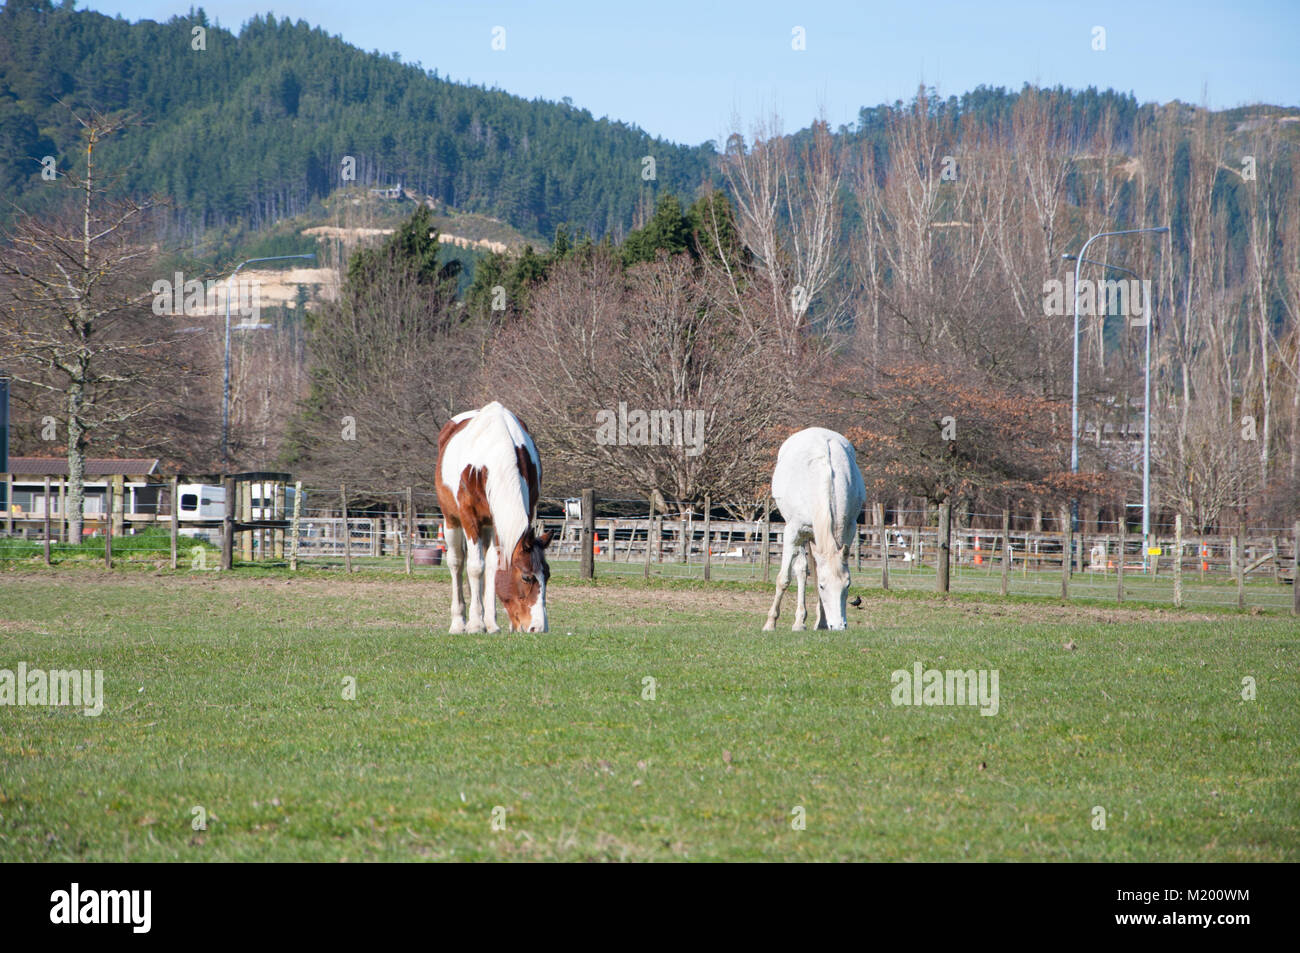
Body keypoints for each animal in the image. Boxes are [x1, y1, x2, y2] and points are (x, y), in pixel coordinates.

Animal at [436, 402, 551, 633]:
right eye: (526, 577)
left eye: (548, 575)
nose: (539, 627)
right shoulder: (469, 518)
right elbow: (475, 568)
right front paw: (475, 624)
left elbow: (491, 568)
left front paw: (490, 623)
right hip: (451, 520)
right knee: (456, 563)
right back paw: (459, 622)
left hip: (488, 524)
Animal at [762, 427, 865, 631]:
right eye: (823, 587)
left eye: (847, 585)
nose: (839, 626)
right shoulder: (792, 532)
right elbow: (784, 579)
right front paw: (770, 623)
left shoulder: (849, 531)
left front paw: (823, 621)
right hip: (803, 536)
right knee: (801, 571)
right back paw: (798, 622)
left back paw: (817, 622)